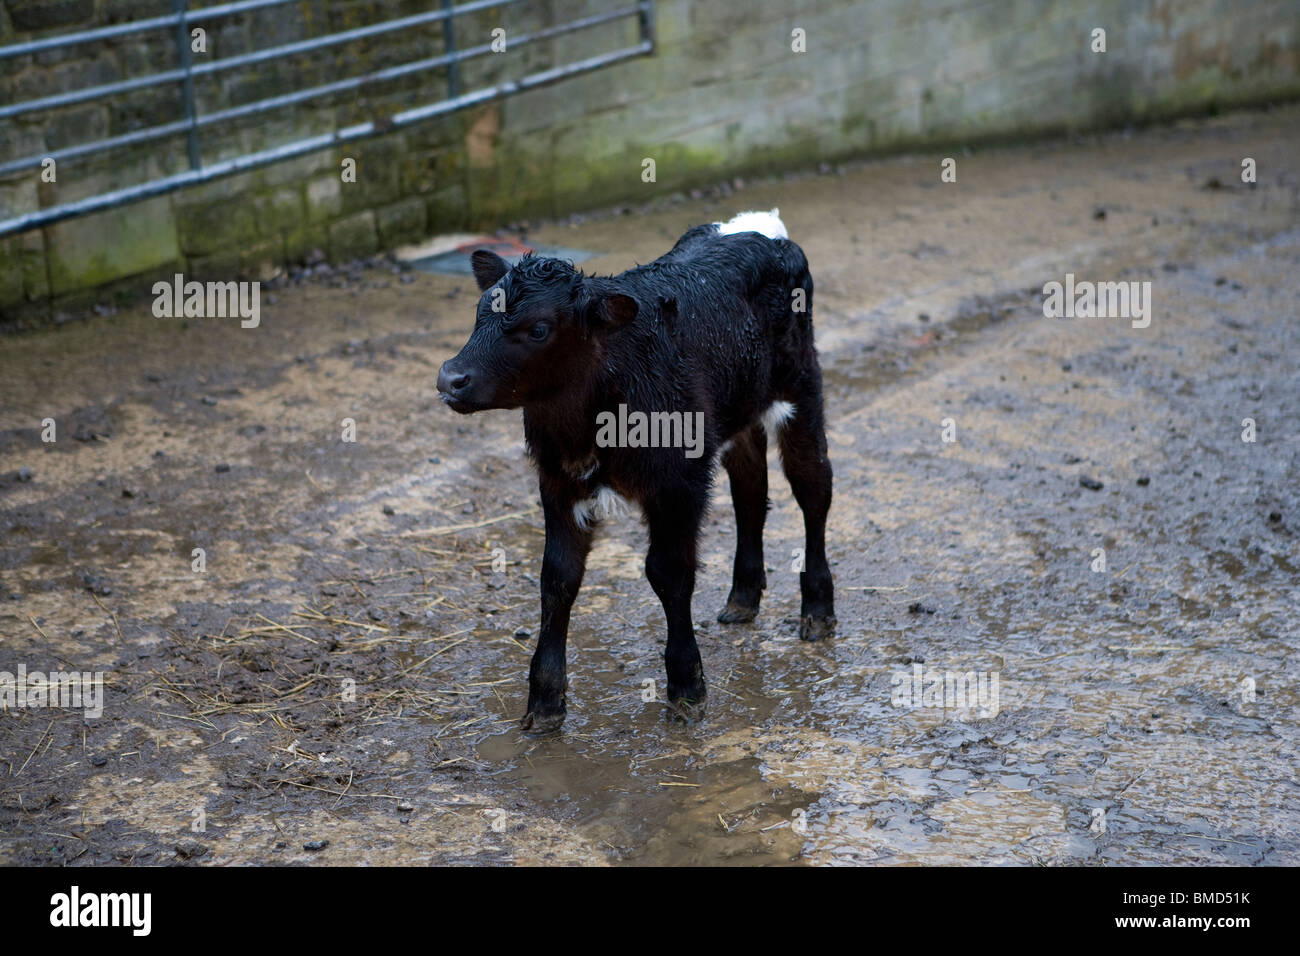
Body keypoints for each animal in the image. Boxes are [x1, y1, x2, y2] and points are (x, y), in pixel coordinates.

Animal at [436, 209, 834, 733]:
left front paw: (686, 686)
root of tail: (756, 226)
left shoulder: (678, 482)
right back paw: (743, 597)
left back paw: (818, 609)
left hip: (800, 385)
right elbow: (557, 578)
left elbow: (668, 571)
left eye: (538, 329)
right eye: (480, 312)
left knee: (813, 487)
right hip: (737, 411)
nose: (450, 378)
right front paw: (545, 701)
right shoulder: (557, 483)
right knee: (750, 489)